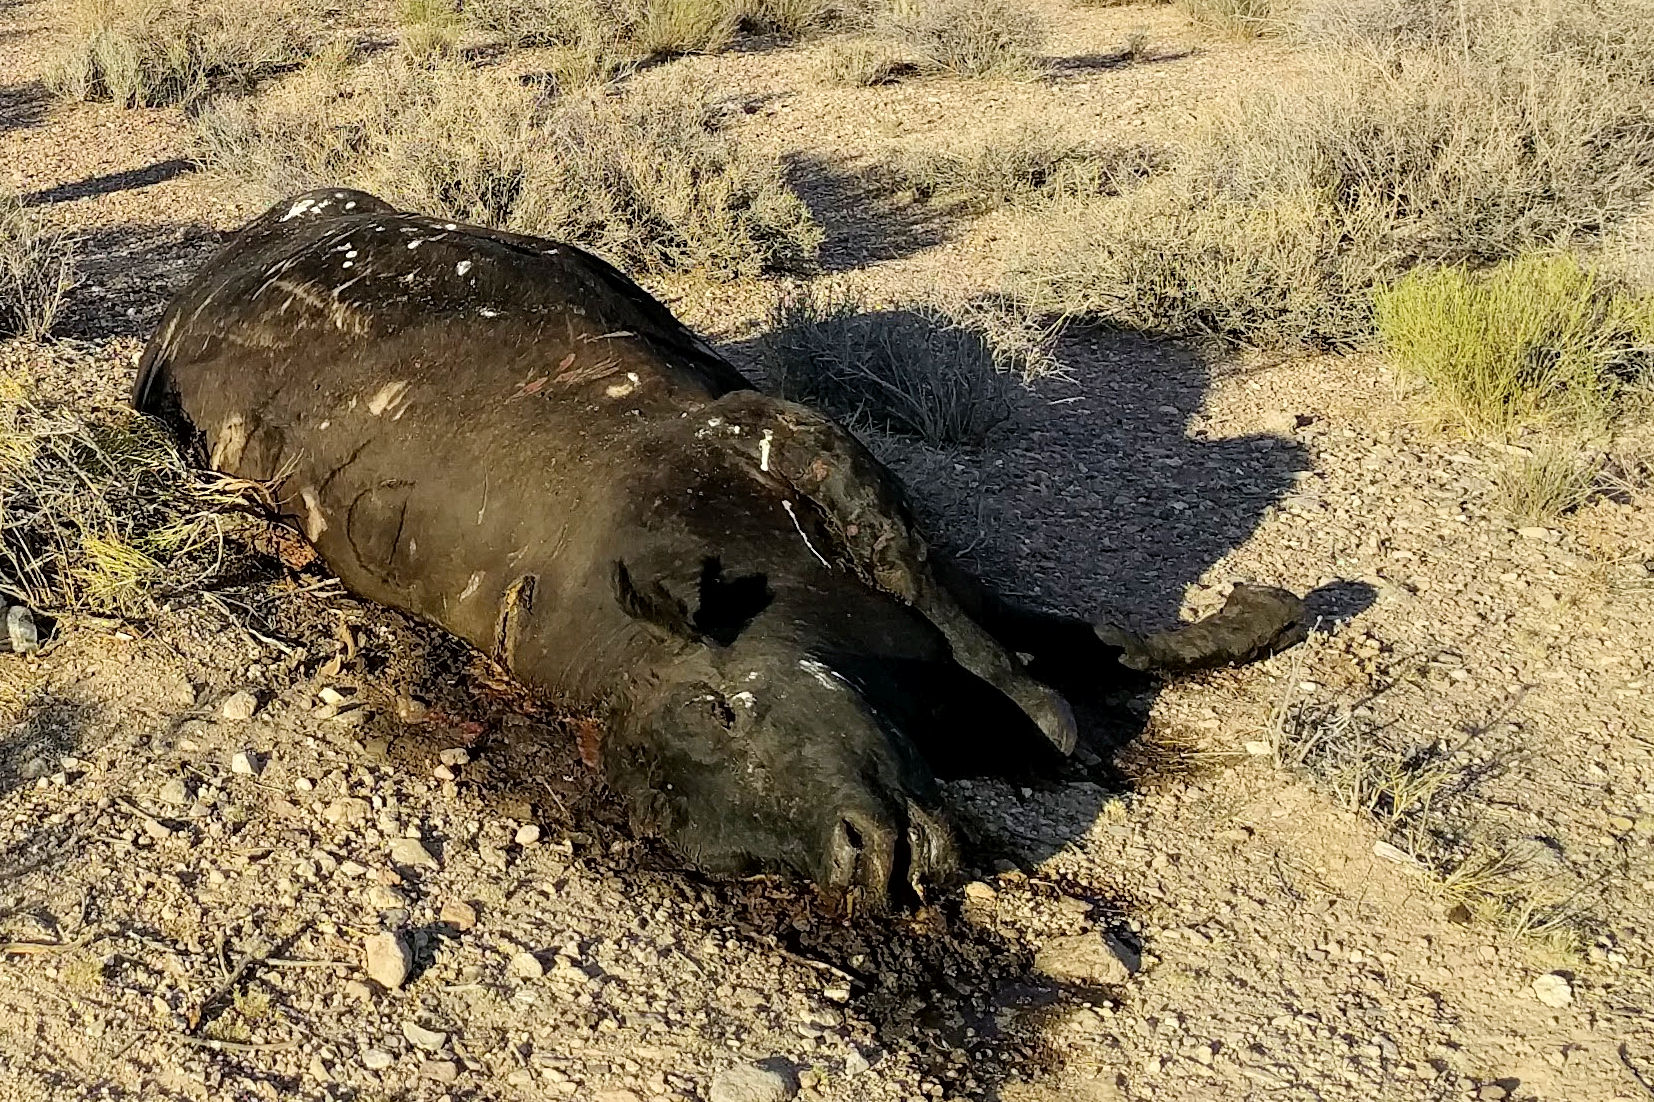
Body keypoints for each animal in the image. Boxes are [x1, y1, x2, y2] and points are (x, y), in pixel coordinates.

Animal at [135, 189, 1305, 906]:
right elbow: (1024, 658)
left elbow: (1038, 626)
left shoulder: (791, 439)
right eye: (721, 839)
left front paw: (1246, 621)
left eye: (725, 706)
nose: (862, 858)